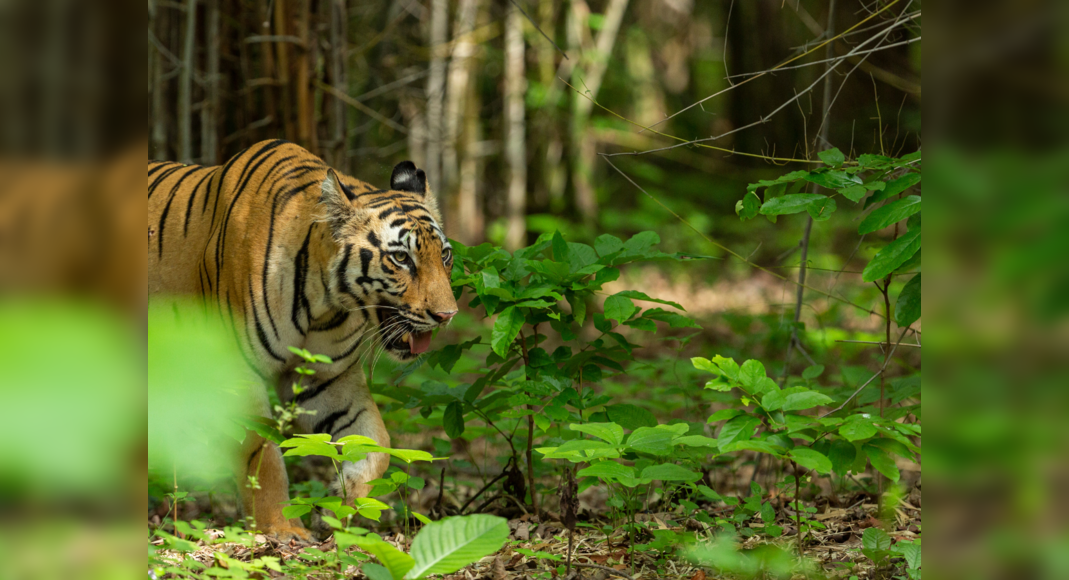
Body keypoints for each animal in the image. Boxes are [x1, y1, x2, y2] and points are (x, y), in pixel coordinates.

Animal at [148, 140, 458, 541]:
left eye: (445, 255)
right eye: (402, 258)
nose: (447, 315)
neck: (326, 302)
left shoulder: (327, 380)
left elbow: (378, 444)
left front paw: (339, 506)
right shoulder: (237, 371)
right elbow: (261, 454)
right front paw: (282, 529)